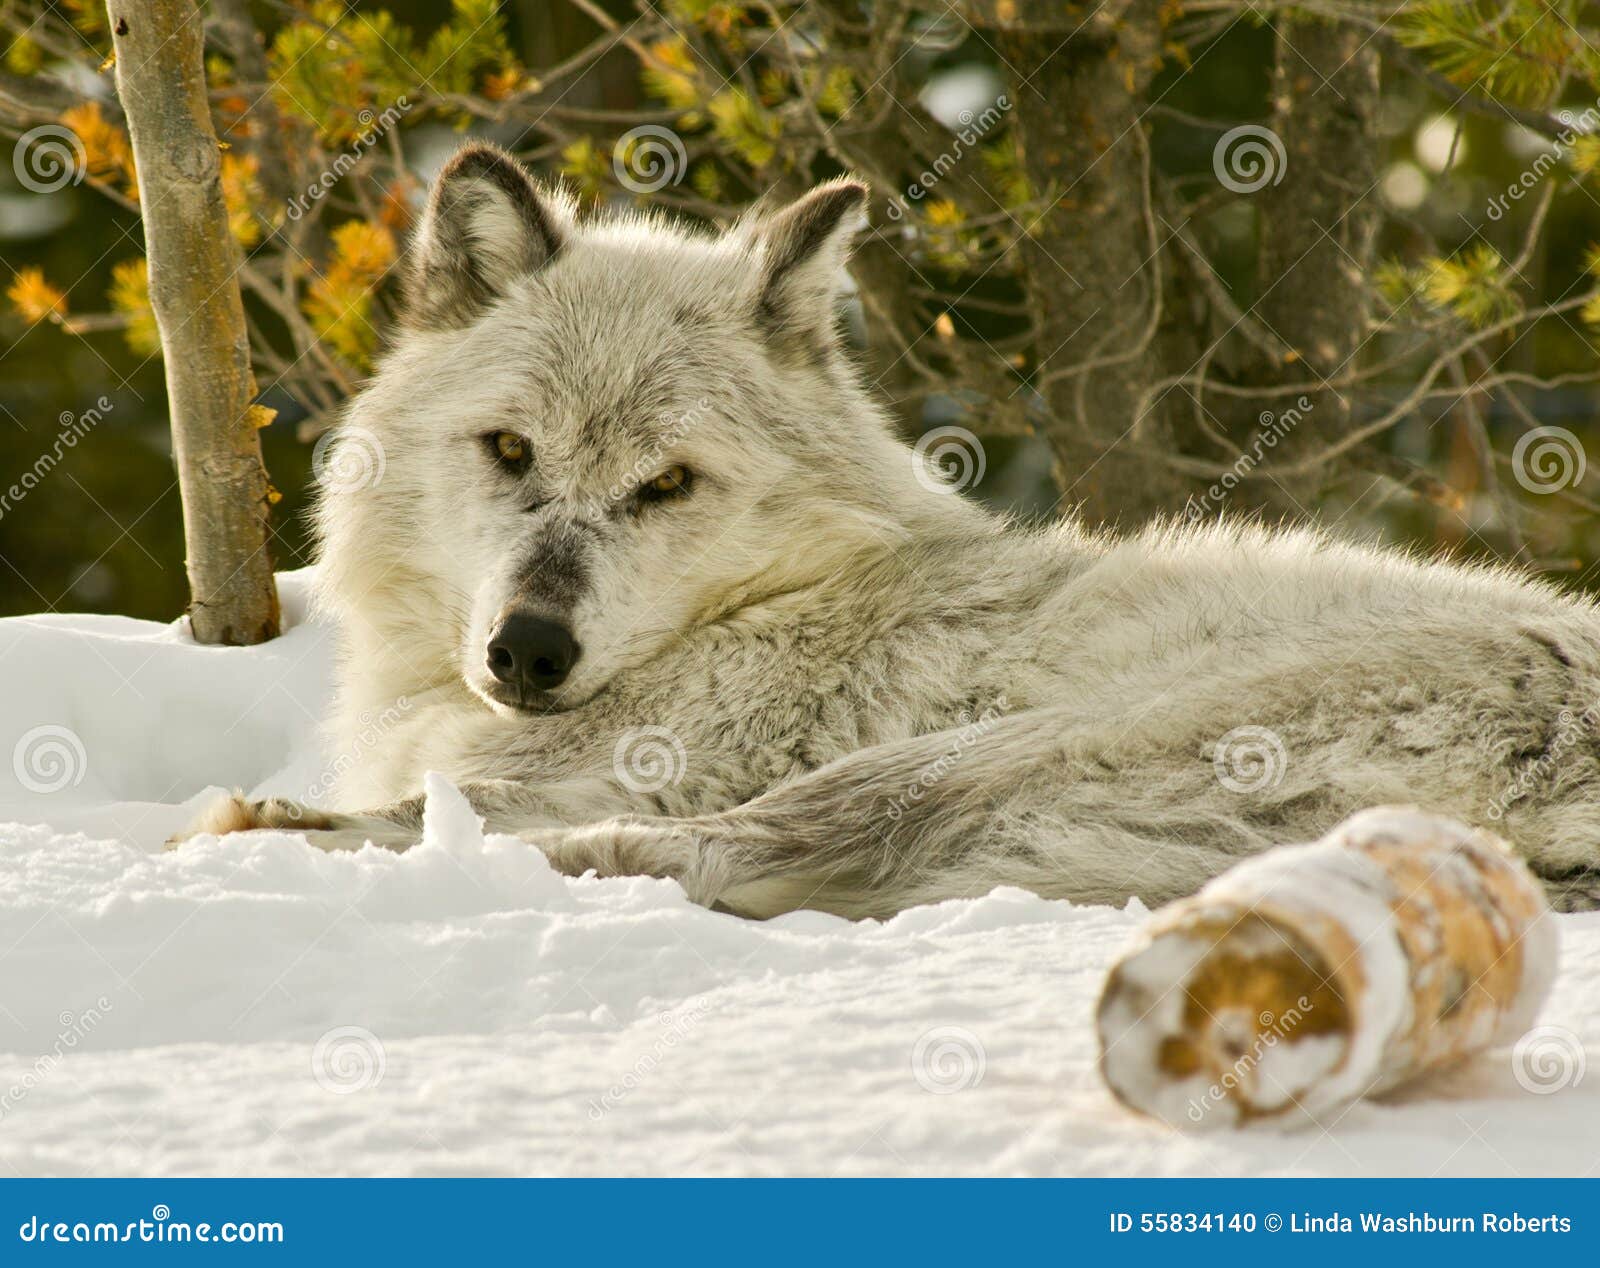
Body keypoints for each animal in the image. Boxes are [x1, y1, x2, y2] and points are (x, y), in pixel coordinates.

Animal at [182, 142, 1600, 919]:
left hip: (1003, 748)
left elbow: (476, 796)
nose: (527, 651)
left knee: (699, 853)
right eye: (511, 451)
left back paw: (280, 836)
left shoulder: (659, 762)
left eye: (667, 484)